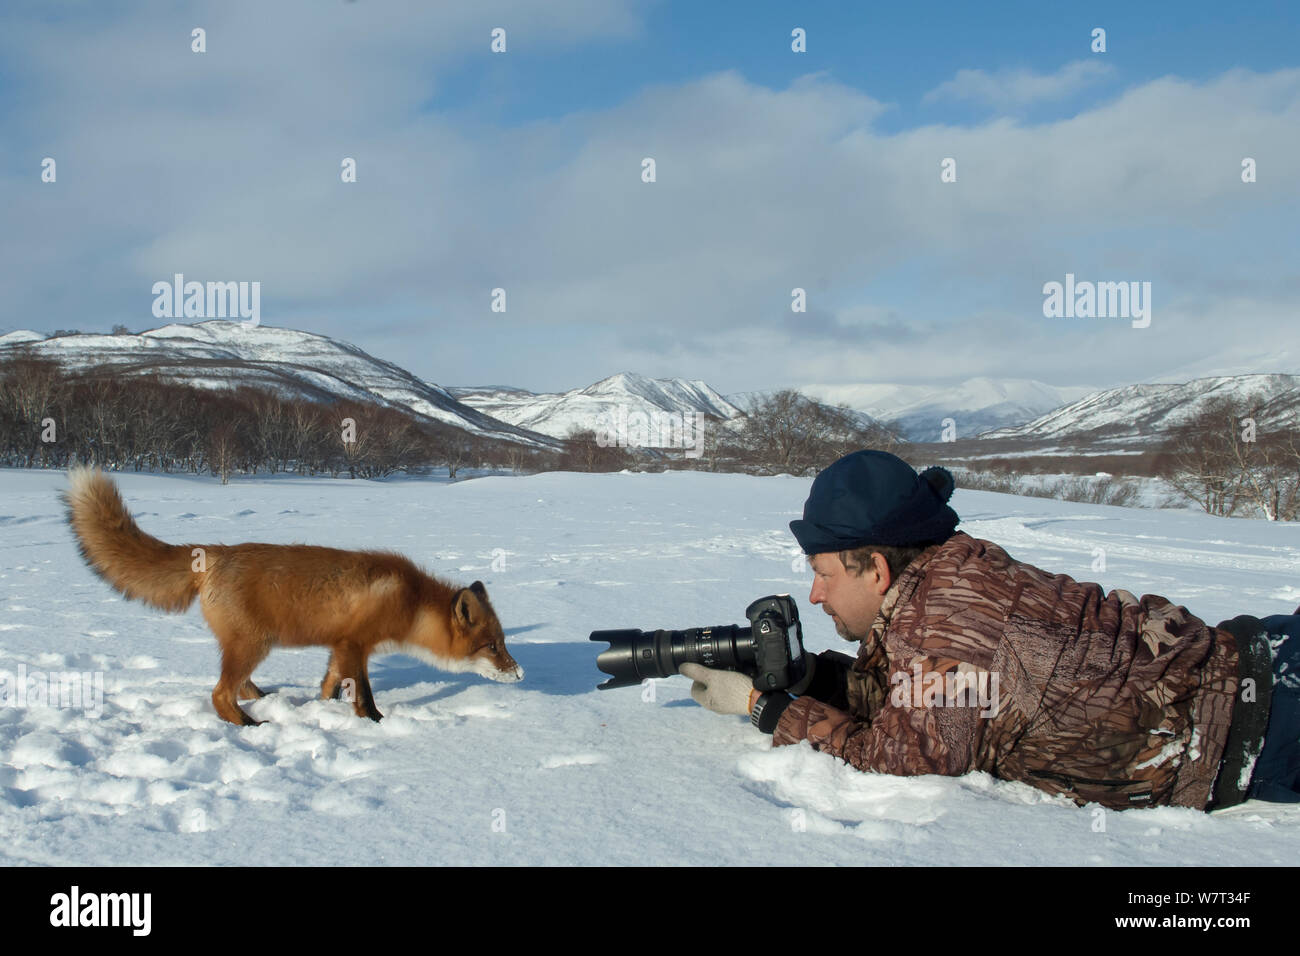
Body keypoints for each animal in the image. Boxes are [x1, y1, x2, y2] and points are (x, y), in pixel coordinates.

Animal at [60, 465, 523, 726]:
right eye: (492, 646)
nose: (520, 674)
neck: (410, 604)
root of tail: (215, 552)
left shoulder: (339, 648)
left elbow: (329, 686)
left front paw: (321, 711)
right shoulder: (355, 644)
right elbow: (364, 695)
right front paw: (375, 724)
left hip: (249, 646)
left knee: (239, 686)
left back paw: (267, 703)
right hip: (254, 643)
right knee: (219, 694)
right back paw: (248, 725)